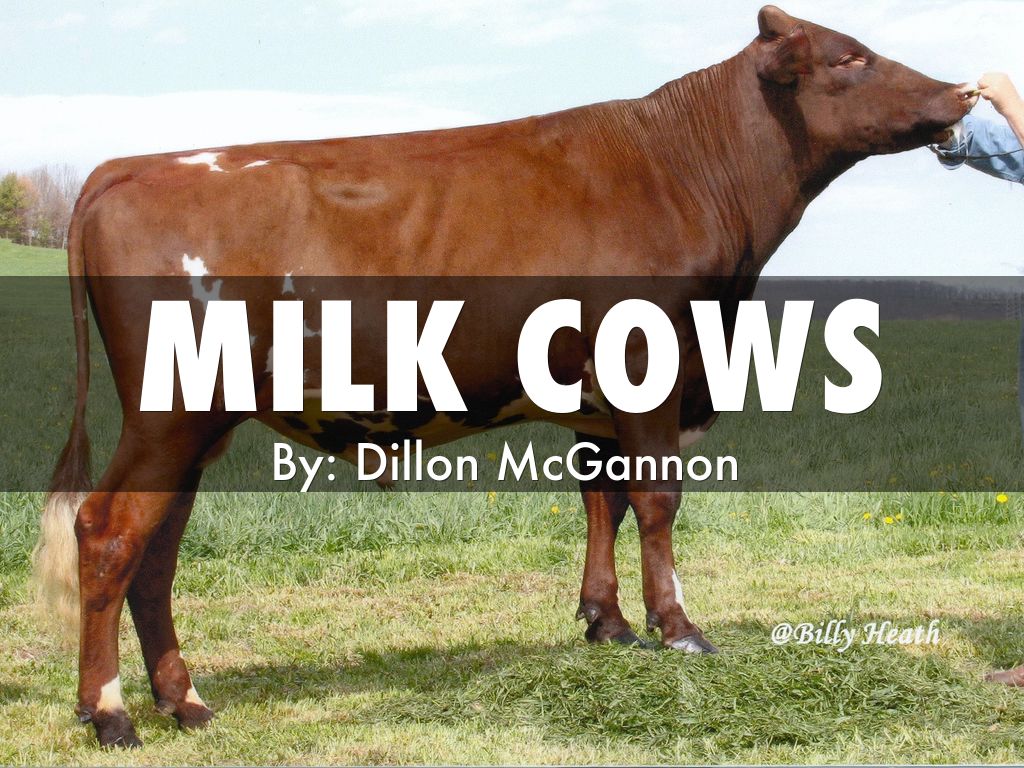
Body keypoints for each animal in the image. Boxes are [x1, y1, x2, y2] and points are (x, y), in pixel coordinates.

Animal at [32, 5, 977, 748]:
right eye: (850, 57)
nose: (960, 94)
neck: (685, 172)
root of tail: (133, 165)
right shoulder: (652, 369)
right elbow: (657, 500)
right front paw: (679, 630)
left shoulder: (600, 396)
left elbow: (602, 498)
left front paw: (608, 624)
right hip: (169, 412)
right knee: (109, 532)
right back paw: (109, 712)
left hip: (199, 425)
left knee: (156, 551)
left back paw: (184, 701)